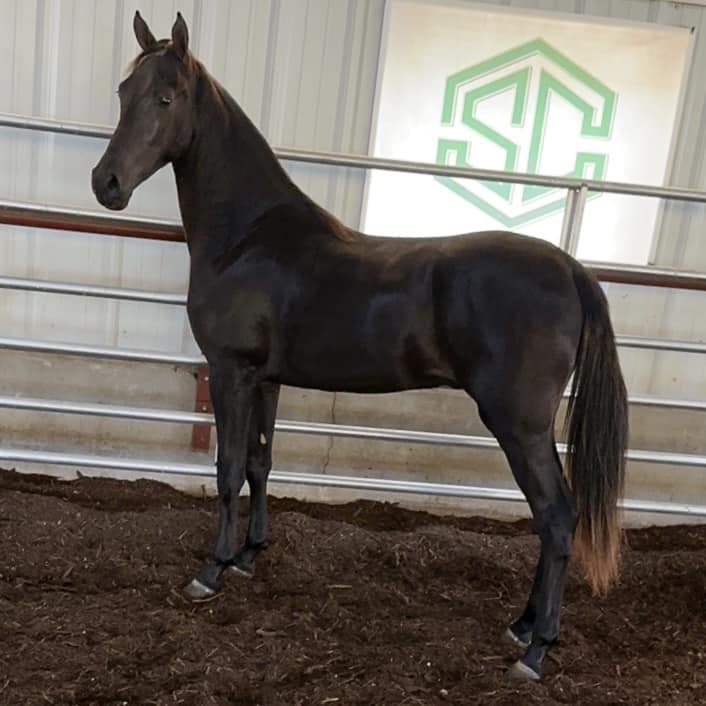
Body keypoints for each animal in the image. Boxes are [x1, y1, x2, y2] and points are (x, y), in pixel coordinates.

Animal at [91, 12, 628, 681]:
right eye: (122, 93)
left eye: (166, 98)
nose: (106, 184)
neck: (249, 236)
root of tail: (572, 270)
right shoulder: (267, 379)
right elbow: (260, 463)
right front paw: (249, 556)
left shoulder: (230, 373)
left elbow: (226, 468)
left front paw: (211, 571)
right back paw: (522, 625)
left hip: (518, 424)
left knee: (556, 517)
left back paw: (535, 650)